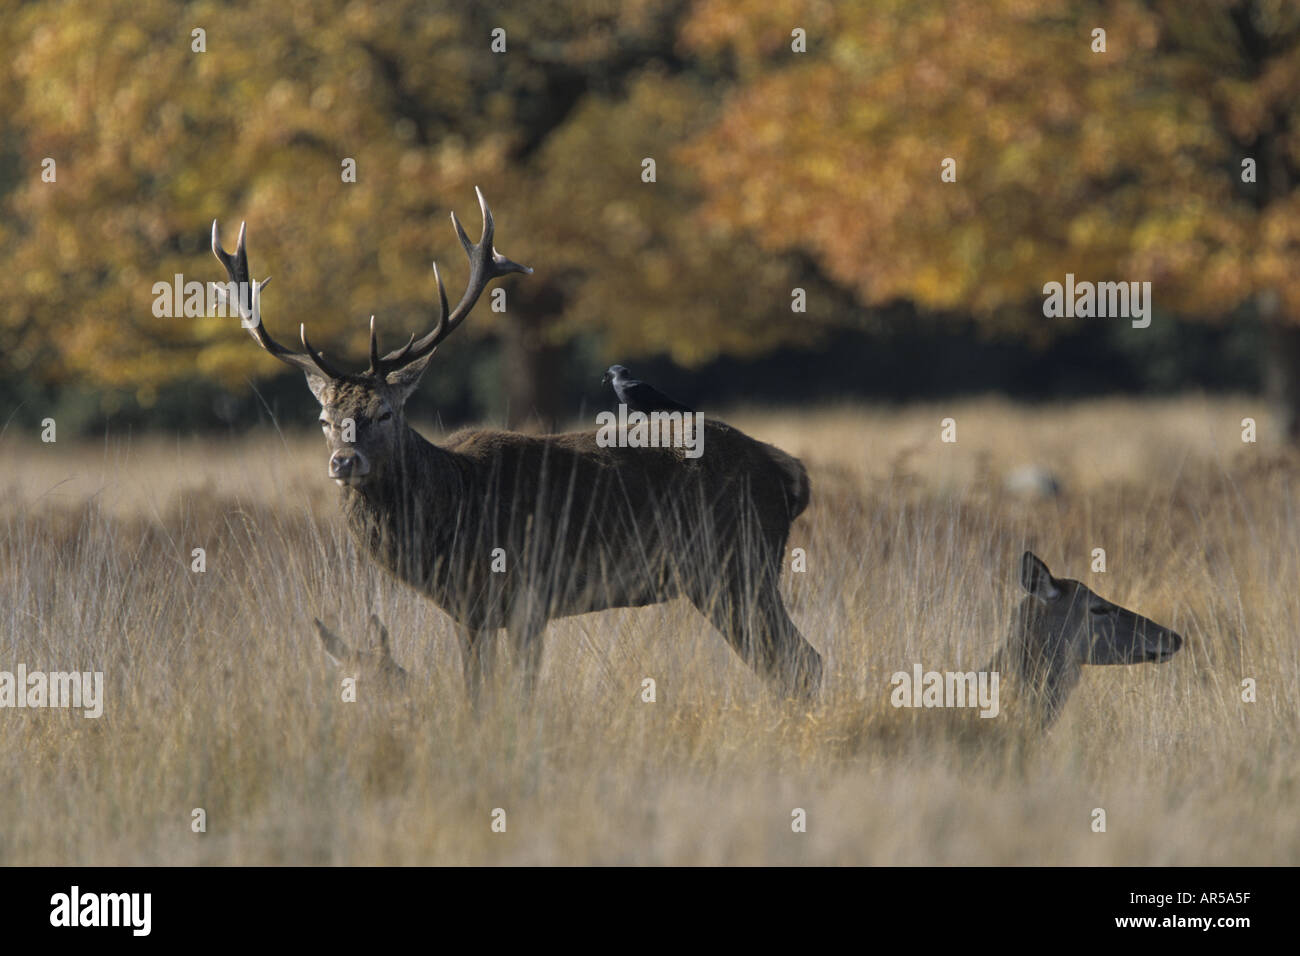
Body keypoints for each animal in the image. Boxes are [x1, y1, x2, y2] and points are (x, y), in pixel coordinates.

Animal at [212, 189, 823, 705]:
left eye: (385, 412)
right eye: (324, 418)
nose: (344, 461)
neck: (451, 515)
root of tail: (789, 470)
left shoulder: (529, 594)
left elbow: (520, 694)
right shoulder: (470, 613)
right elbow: (478, 692)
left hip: (734, 563)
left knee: (800, 662)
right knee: (793, 662)